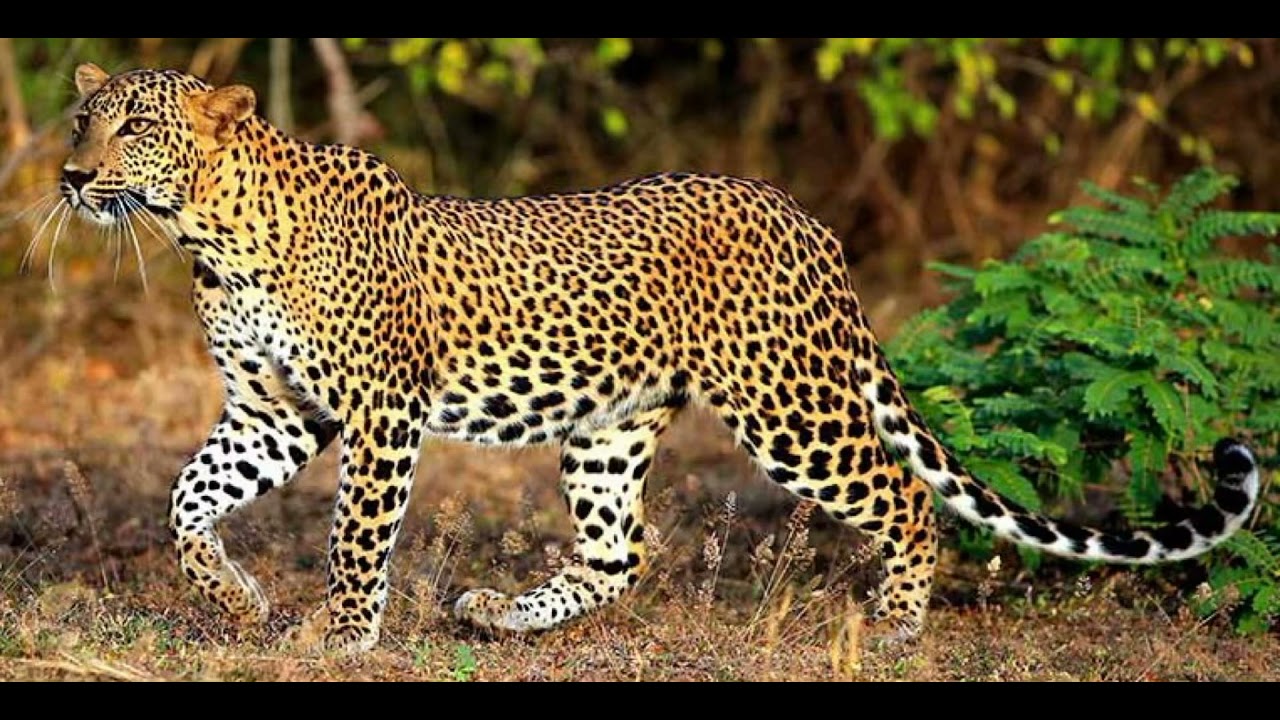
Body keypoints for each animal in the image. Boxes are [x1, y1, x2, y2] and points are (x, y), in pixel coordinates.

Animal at [57, 63, 1261, 655]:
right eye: (79, 119)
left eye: (136, 128)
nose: (70, 176)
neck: (208, 234)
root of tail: (800, 216)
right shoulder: (272, 411)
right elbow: (185, 501)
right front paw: (234, 603)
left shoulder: (379, 411)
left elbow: (356, 537)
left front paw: (337, 634)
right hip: (608, 424)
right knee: (618, 552)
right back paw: (500, 616)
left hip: (790, 407)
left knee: (904, 498)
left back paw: (897, 624)